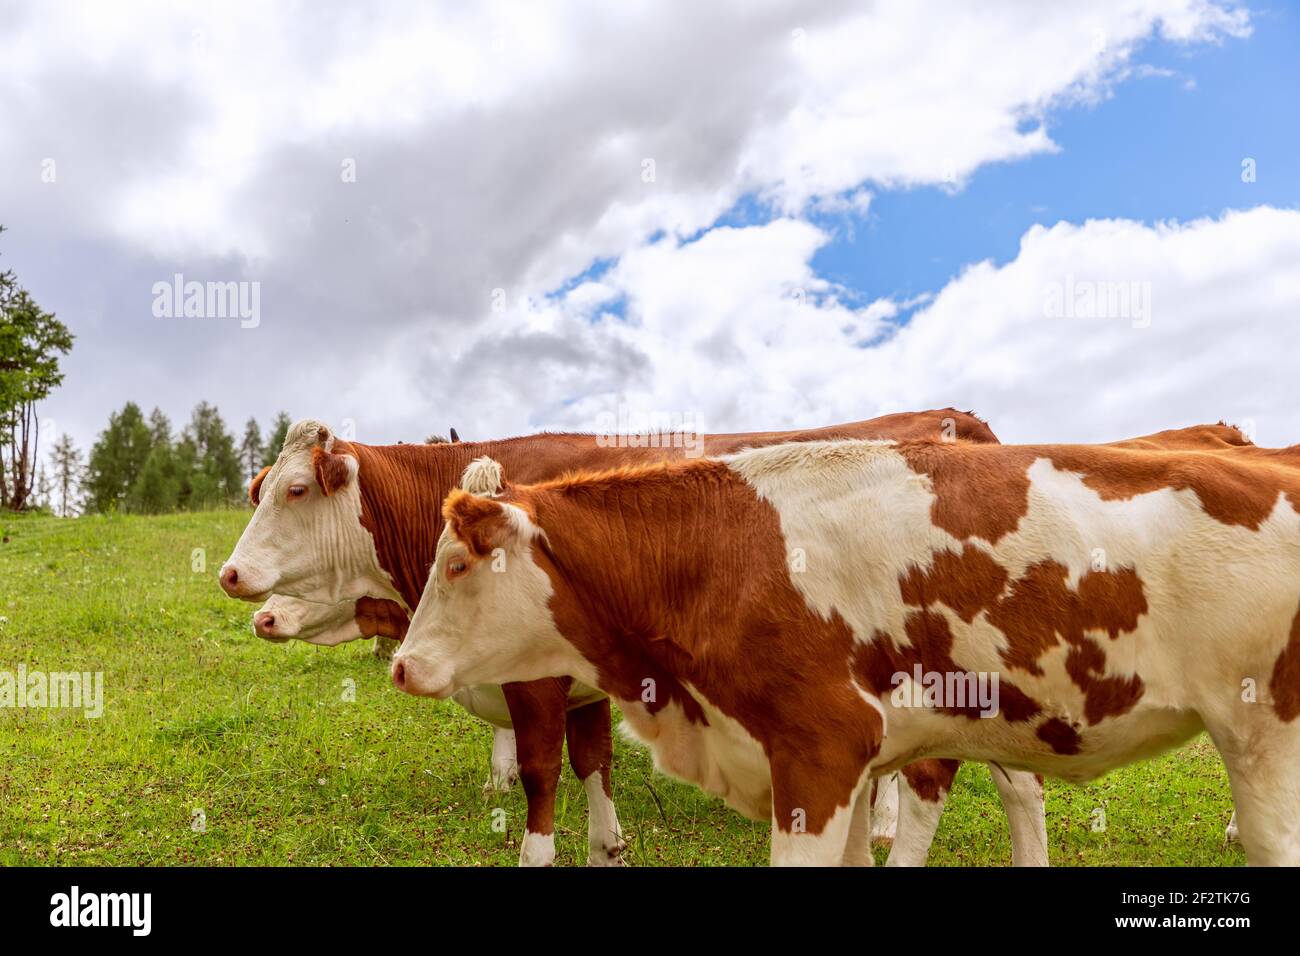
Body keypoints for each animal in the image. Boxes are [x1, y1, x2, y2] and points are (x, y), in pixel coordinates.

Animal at [220, 409, 1045, 866]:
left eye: (295, 489)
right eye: (257, 489)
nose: (232, 579)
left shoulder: (535, 683)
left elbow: (542, 778)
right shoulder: (583, 687)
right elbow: (595, 770)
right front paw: (607, 847)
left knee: (942, 781)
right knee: (1020, 781)